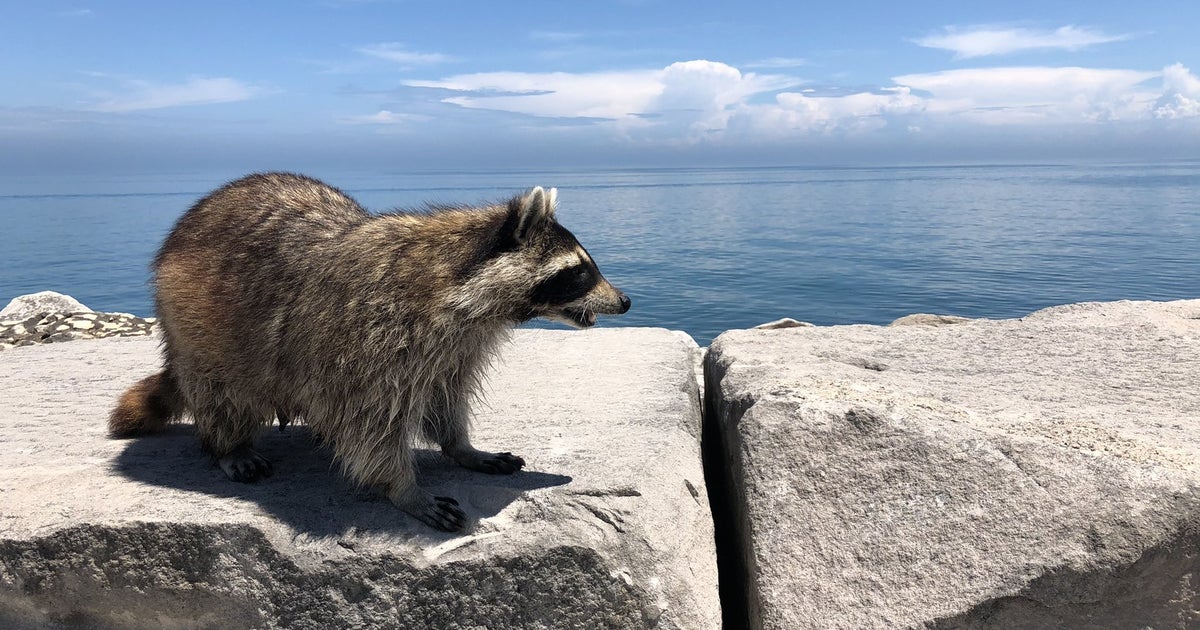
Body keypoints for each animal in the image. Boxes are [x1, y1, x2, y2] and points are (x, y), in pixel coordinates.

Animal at [109, 173, 630, 531]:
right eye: (579, 271)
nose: (625, 301)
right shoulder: (367, 338)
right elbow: (371, 423)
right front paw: (403, 488)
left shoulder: (453, 347)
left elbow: (445, 396)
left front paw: (461, 447)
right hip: (195, 324)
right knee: (219, 391)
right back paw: (228, 444)